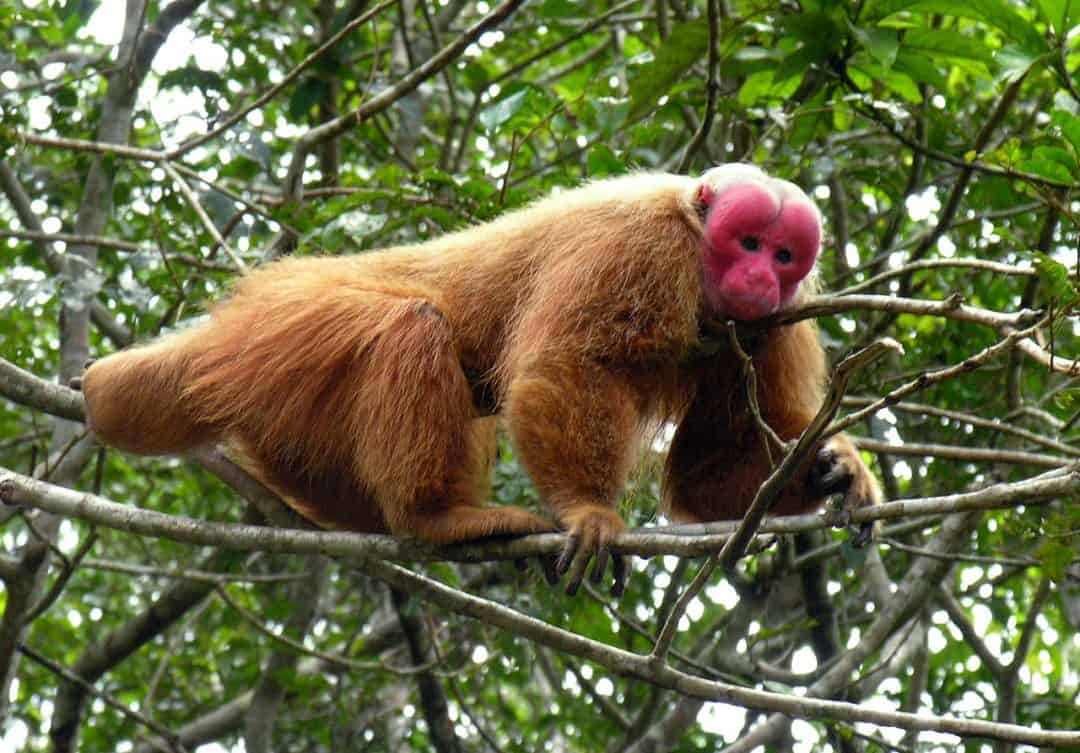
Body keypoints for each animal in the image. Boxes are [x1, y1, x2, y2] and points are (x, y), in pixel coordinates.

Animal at [79, 163, 881, 596]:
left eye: (783, 254)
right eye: (747, 242)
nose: (760, 278)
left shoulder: (774, 326)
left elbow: (703, 475)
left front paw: (833, 468)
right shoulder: (636, 249)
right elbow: (565, 366)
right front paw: (590, 510)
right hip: (295, 321)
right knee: (412, 326)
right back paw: (436, 515)